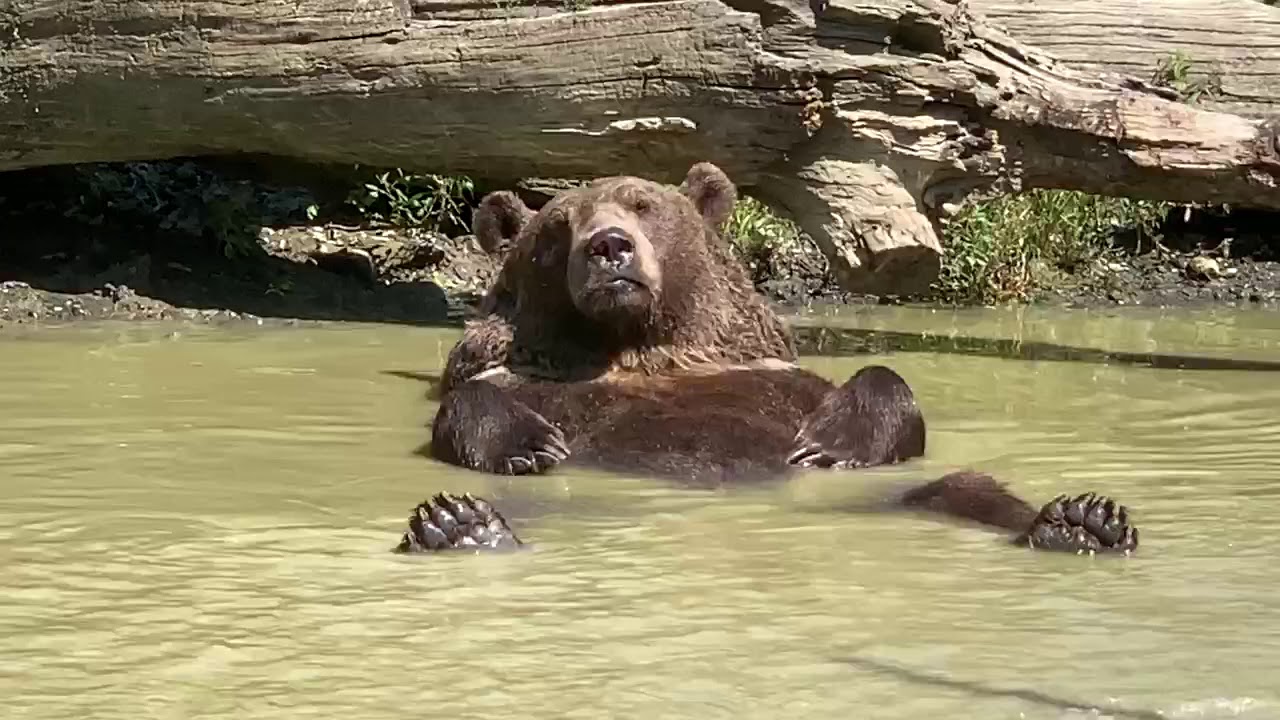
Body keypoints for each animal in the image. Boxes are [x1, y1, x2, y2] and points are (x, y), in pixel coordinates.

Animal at [420, 162, 1138, 555]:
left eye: (645, 205)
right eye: (557, 226)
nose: (609, 246)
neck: (642, 347)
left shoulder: (771, 375)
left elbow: (879, 386)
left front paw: (831, 441)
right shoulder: (530, 376)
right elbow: (472, 401)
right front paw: (528, 444)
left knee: (968, 489)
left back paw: (1081, 523)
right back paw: (462, 527)